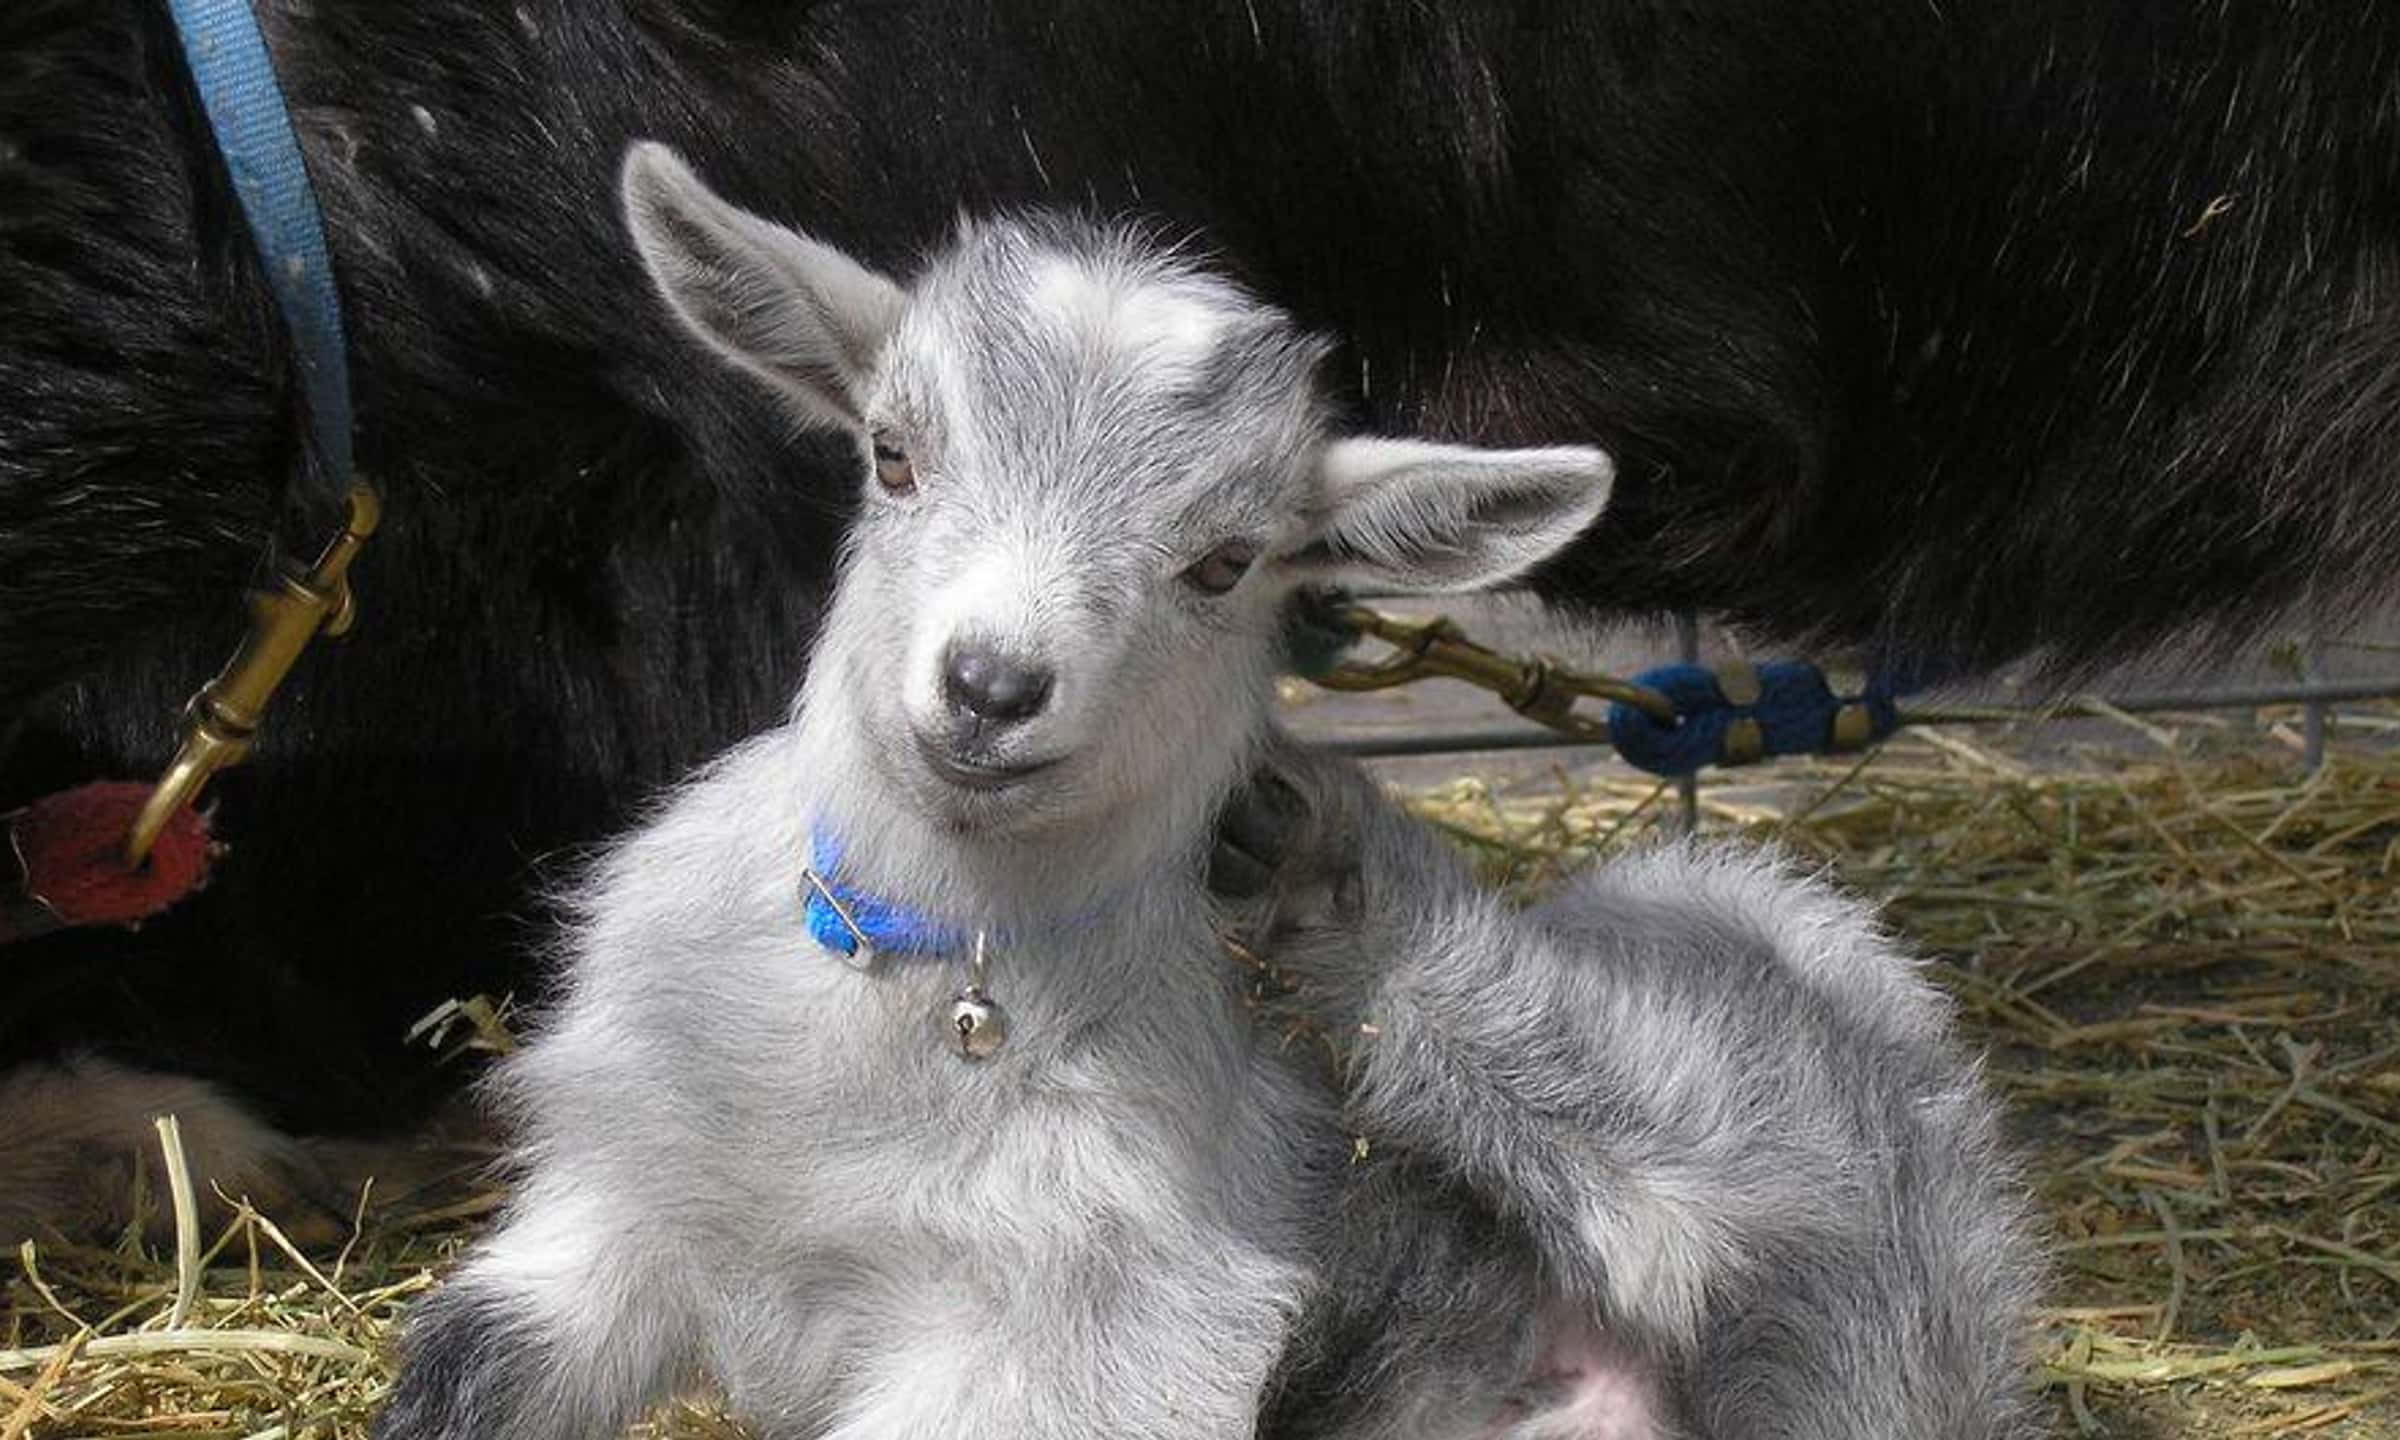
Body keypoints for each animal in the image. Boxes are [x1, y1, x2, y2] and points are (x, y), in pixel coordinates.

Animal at [374, 143, 2037, 1440]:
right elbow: (467, 1369)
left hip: (1778, 1150)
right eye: (893, 454)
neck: (928, 989)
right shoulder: (608, 1216)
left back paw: (1330, 873)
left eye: (1229, 560)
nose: (990, 687)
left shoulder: (1094, 1330)